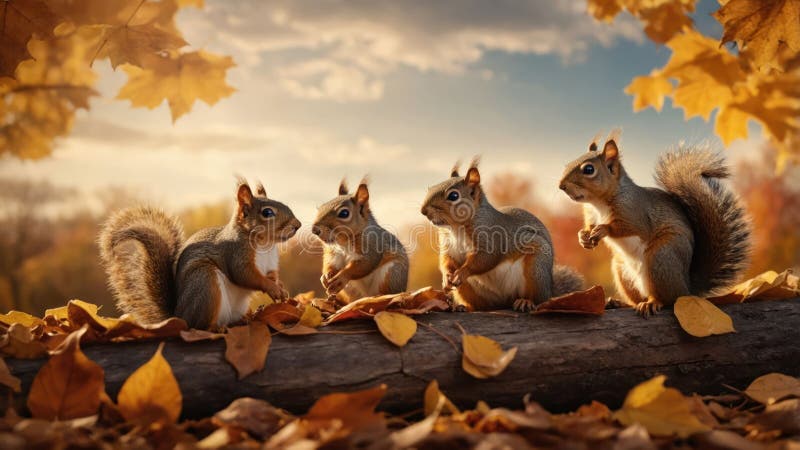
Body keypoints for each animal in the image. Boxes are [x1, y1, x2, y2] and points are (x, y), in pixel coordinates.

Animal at [99, 180, 302, 329]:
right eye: (267, 212)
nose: (297, 225)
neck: (265, 245)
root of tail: (179, 315)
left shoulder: (270, 264)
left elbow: (272, 275)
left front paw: (280, 288)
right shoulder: (236, 254)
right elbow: (247, 276)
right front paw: (272, 287)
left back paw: (242, 320)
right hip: (205, 284)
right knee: (200, 325)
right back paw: (216, 329)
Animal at [421, 159, 583, 311]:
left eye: (453, 196)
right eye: (431, 188)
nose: (423, 211)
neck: (456, 228)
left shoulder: (492, 236)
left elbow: (485, 259)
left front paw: (461, 273)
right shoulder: (448, 246)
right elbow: (446, 260)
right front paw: (446, 278)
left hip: (536, 269)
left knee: (539, 299)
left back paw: (526, 302)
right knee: (481, 306)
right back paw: (462, 307)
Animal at [558, 134, 751, 316]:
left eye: (589, 169)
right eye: (568, 164)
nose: (561, 186)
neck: (598, 204)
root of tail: (688, 287)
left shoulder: (635, 211)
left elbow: (628, 227)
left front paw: (603, 229)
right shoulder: (590, 215)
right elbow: (589, 227)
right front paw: (583, 237)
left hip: (661, 257)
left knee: (668, 299)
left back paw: (652, 303)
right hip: (623, 270)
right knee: (636, 300)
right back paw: (619, 303)